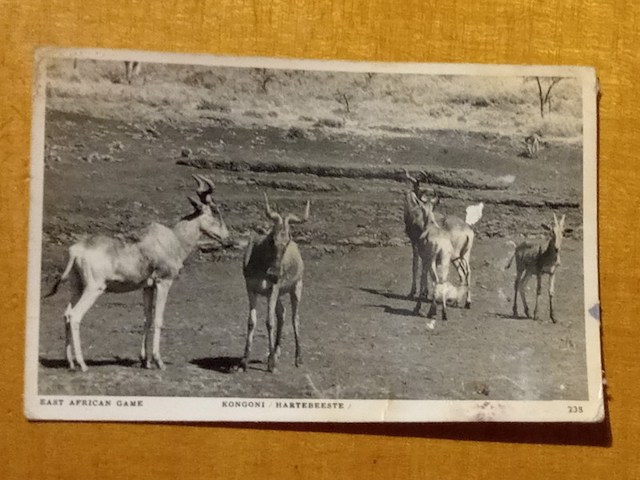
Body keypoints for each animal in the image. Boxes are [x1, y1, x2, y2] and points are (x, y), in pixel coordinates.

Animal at [43, 175, 231, 372]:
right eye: (215, 211)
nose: (228, 240)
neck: (173, 239)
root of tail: (76, 251)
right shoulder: (164, 282)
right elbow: (158, 319)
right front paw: (158, 361)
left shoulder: (147, 287)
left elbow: (147, 319)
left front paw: (145, 361)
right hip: (94, 289)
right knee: (75, 316)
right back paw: (82, 364)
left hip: (77, 287)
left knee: (66, 314)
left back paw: (70, 363)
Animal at [240, 193, 310, 374]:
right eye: (271, 238)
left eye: (287, 241)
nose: (274, 274)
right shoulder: (251, 288)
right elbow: (251, 321)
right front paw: (243, 362)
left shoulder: (273, 289)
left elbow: (269, 322)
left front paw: (271, 364)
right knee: (282, 313)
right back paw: (277, 352)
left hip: (296, 287)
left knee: (294, 317)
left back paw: (298, 358)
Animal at [400, 170, 480, 308]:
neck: (415, 212)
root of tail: (467, 231)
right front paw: (425, 292)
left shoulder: (415, 244)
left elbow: (416, 266)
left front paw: (413, 292)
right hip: (463, 255)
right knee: (467, 272)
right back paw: (465, 302)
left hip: (453, 257)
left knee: (462, 273)